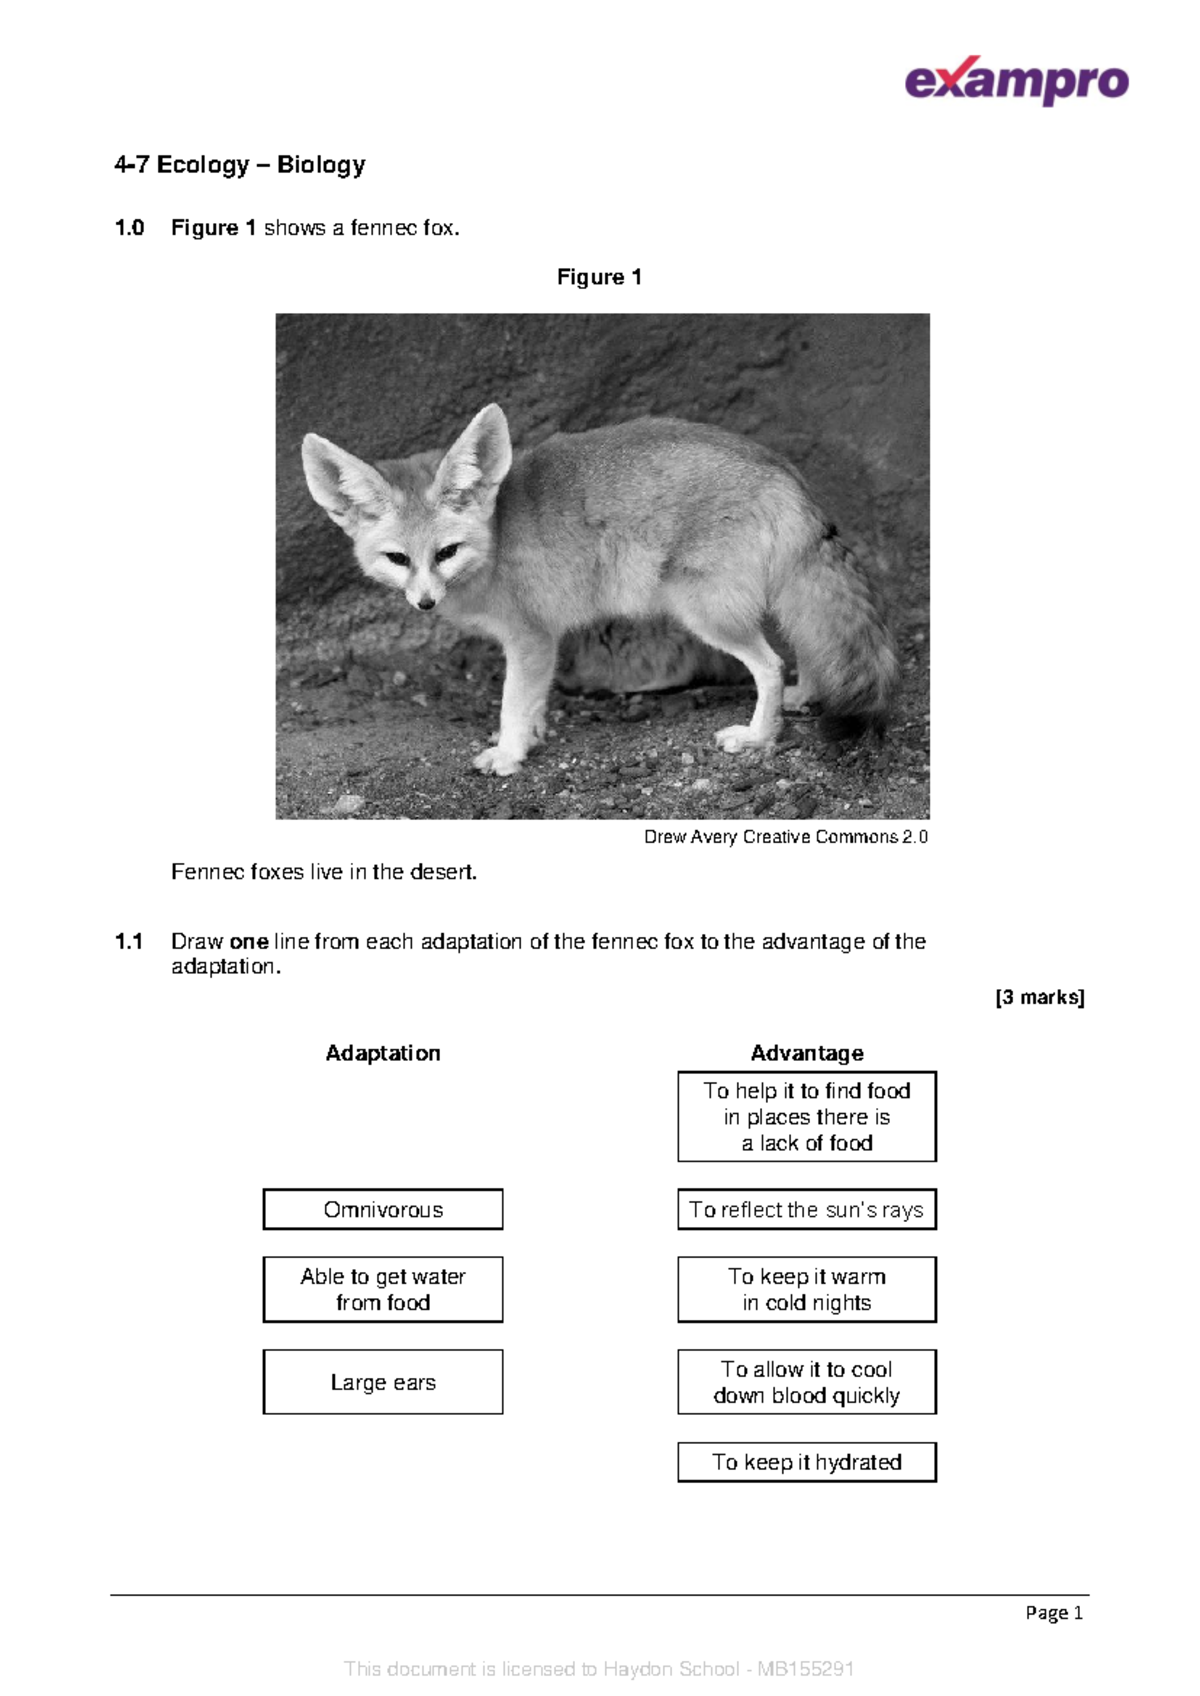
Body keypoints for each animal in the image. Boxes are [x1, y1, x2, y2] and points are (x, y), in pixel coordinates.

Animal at [301, 407, 897, 776]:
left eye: (445, 553)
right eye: (399, 560)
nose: (425, 602)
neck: (496, 538)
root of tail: (780, 469)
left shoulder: (532, 637)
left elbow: (512, 703)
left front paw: (510, 754)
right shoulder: (540, 643)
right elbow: (535, 699)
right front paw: (534, 734)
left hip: (705, 612)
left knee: (770, 664)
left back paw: (759, 735)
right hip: (753, 599)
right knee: (801, 643)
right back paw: (805, 694)